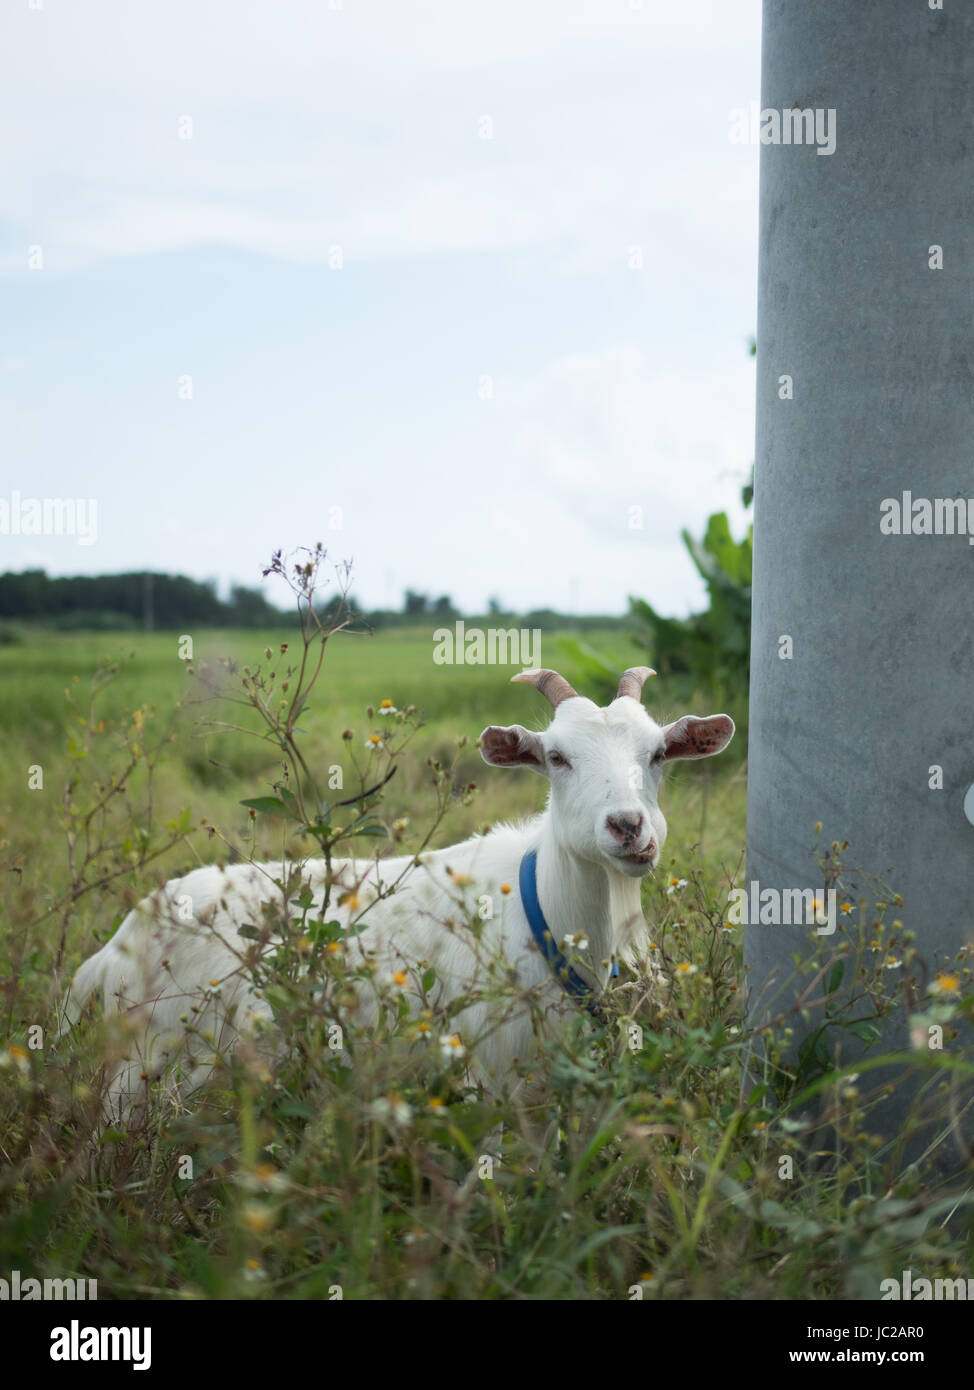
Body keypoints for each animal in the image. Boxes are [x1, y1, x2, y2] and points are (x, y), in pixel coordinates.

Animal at [61, 667, 734, 1121]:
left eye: (657, 754)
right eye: (556, 757)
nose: (627, 827)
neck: (548, 915)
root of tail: (121, 940)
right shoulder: (491, 1077)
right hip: (146, 1061)